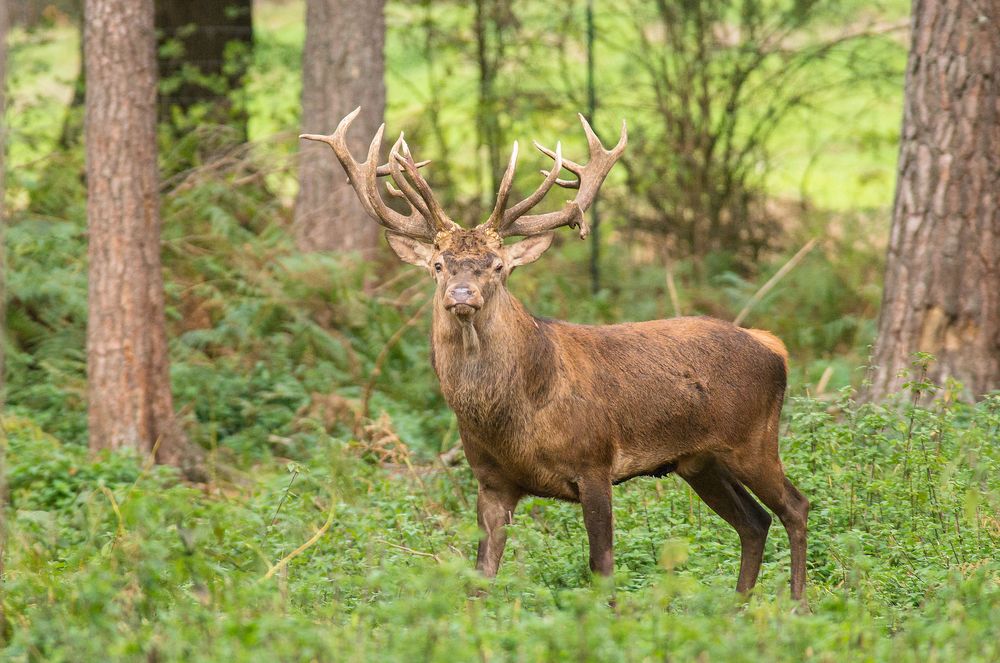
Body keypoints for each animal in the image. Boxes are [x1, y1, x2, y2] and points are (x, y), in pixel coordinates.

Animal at [300, 108, 809, 602]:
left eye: (498, 266)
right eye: (438, 264)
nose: (462, 294)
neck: (517, 417)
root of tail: (773, 345)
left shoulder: (595, 463)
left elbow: (602, 568)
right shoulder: (490, 481)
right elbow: (481, 577)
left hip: (753, 439)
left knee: (795, 506)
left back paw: (796, 606)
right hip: (699, 461)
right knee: (754, 521)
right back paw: (737, 609)